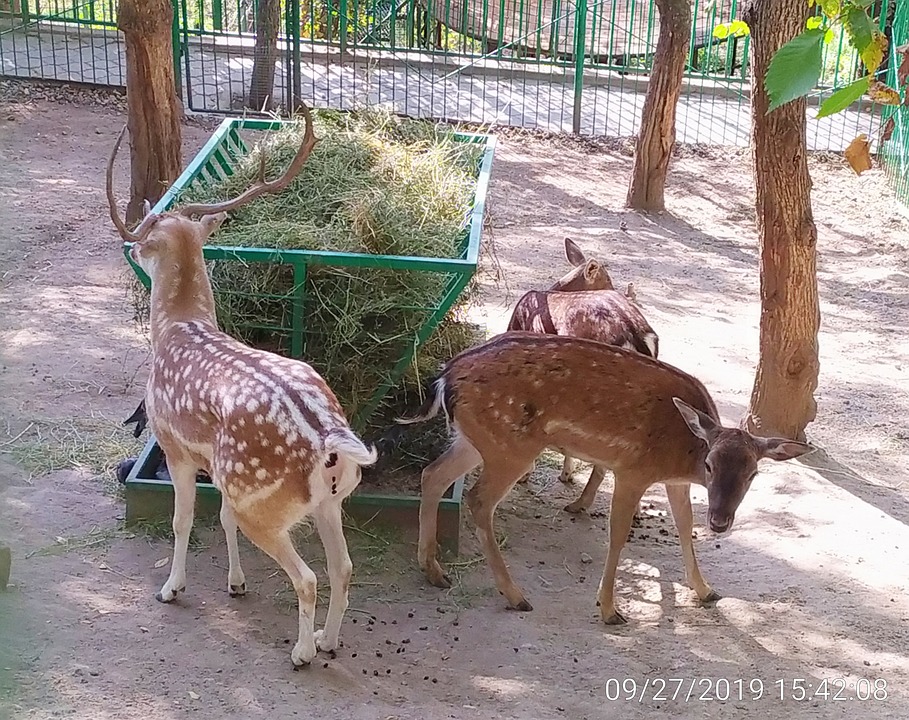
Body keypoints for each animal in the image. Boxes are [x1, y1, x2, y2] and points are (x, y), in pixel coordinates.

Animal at [106, 105, 377, 667]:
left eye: (146, 236)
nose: (132, 246)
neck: (179, 327)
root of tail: (328, 443)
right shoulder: (219, 469)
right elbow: (223, 518)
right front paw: (235, 584)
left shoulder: (175, 446)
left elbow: (183, 521)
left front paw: (171, 588)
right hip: (328, 500)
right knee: (342, 568)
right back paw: (329, 640)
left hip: (265, 505)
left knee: (308, 577)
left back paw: (302, 652)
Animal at [398, 332, 813, 624]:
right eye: (709, 464)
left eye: (753, 473)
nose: (721, 521)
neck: (681, 452)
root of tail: (446, 378)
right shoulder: (633, 470)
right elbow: (617, 534)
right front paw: (610, 610)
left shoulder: (672, 481)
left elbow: (684, 526)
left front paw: (706, 591)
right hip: (509, 445)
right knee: (478, 500)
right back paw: (516, 596)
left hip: (475, 439)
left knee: (433, 475)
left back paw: (434, 571)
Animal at [508, 238, 658, 516]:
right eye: (608, 280)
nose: (624, 292)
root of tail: (634, 335)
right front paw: (565, 474)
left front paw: (528, 473)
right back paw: (634, 509)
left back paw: (580, 504)